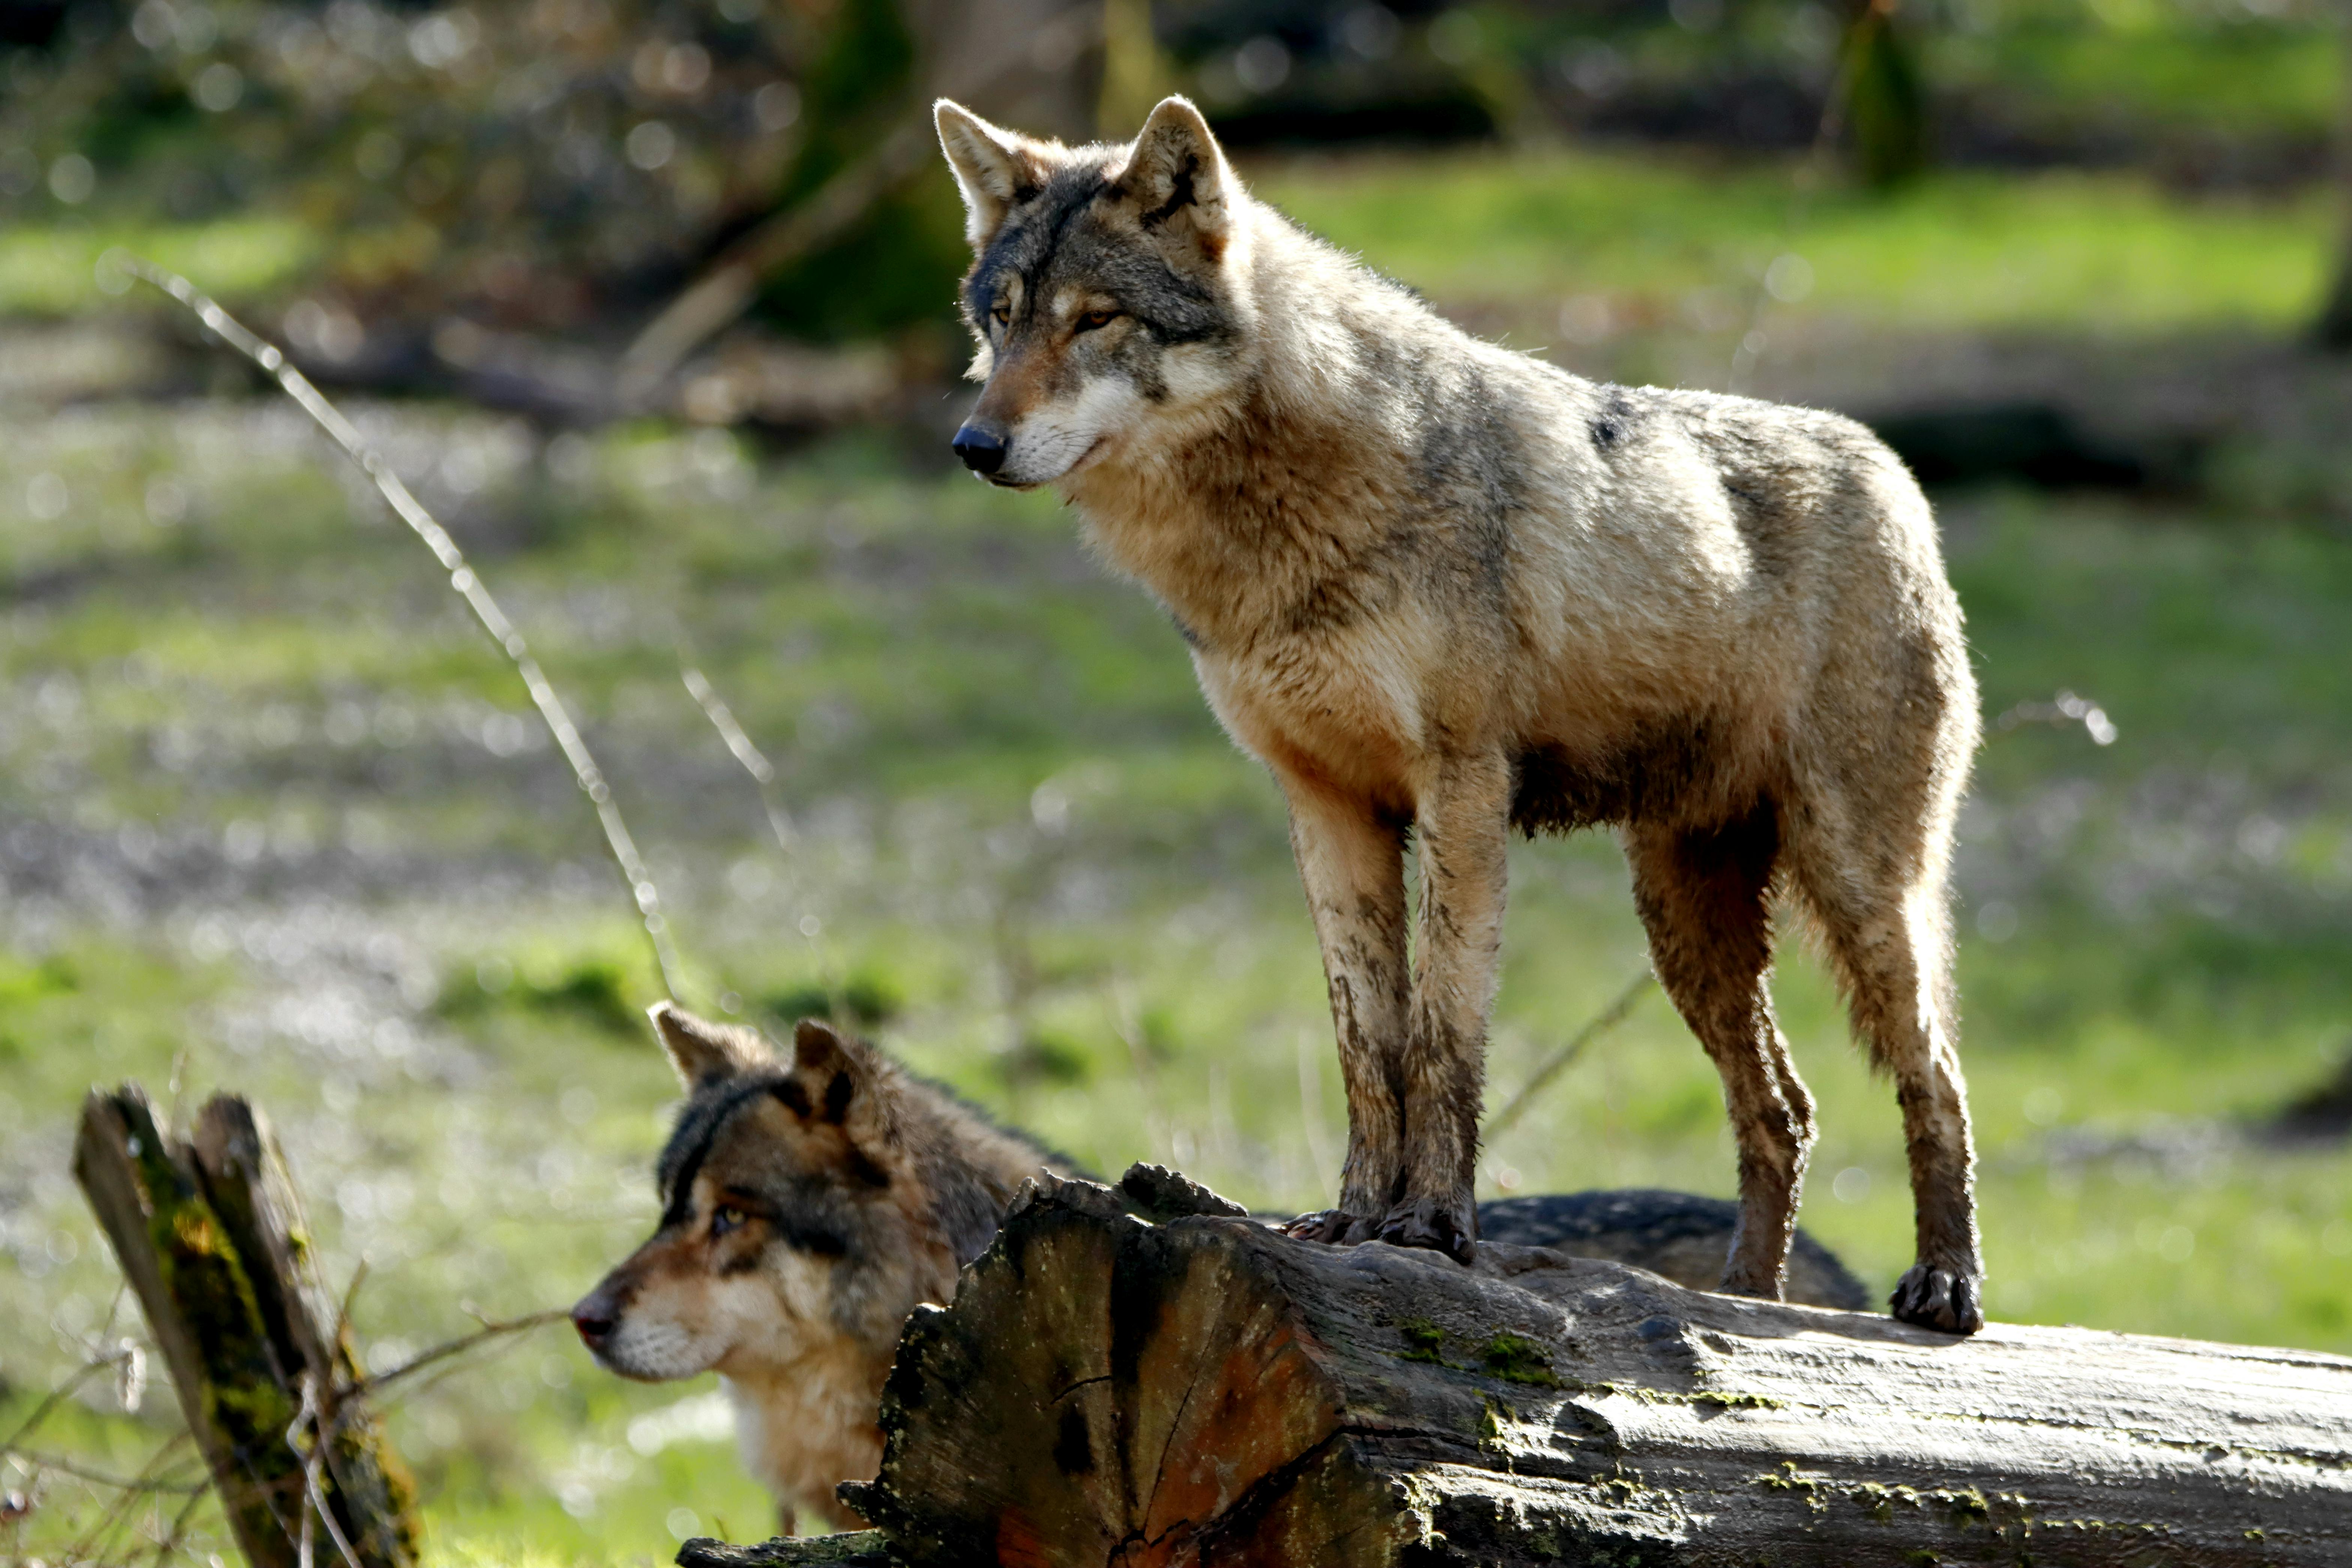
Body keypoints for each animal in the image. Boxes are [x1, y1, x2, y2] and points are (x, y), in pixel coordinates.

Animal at [932, 97, 1985, 1332]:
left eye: (1095, 319)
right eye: (1001, 319)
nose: (972, 446)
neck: (1272, 535)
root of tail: (1887, 465)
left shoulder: (1462, 792)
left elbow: (1442, 1040)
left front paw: (1432, 1227)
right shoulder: (1324, 805)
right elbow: (1366, 1043)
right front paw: (1351, 1221)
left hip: (1858, 888)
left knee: (1936, 1075)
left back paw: (1943, 1285)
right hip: (1685, 925)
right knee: (1784, 1104)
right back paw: (1749, 1305)